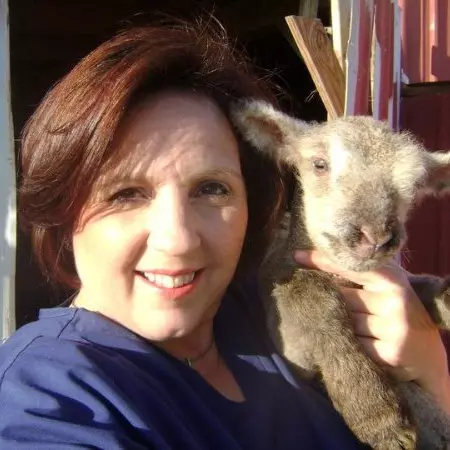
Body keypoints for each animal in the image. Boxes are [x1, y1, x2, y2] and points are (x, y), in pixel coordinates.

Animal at [230, 101, 450, 450]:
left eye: (414, 187)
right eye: (320, 164)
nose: (375, 236)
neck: (348, 279)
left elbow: (424, 286)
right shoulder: (291, 343)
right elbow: (312, 294)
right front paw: (378, 416)